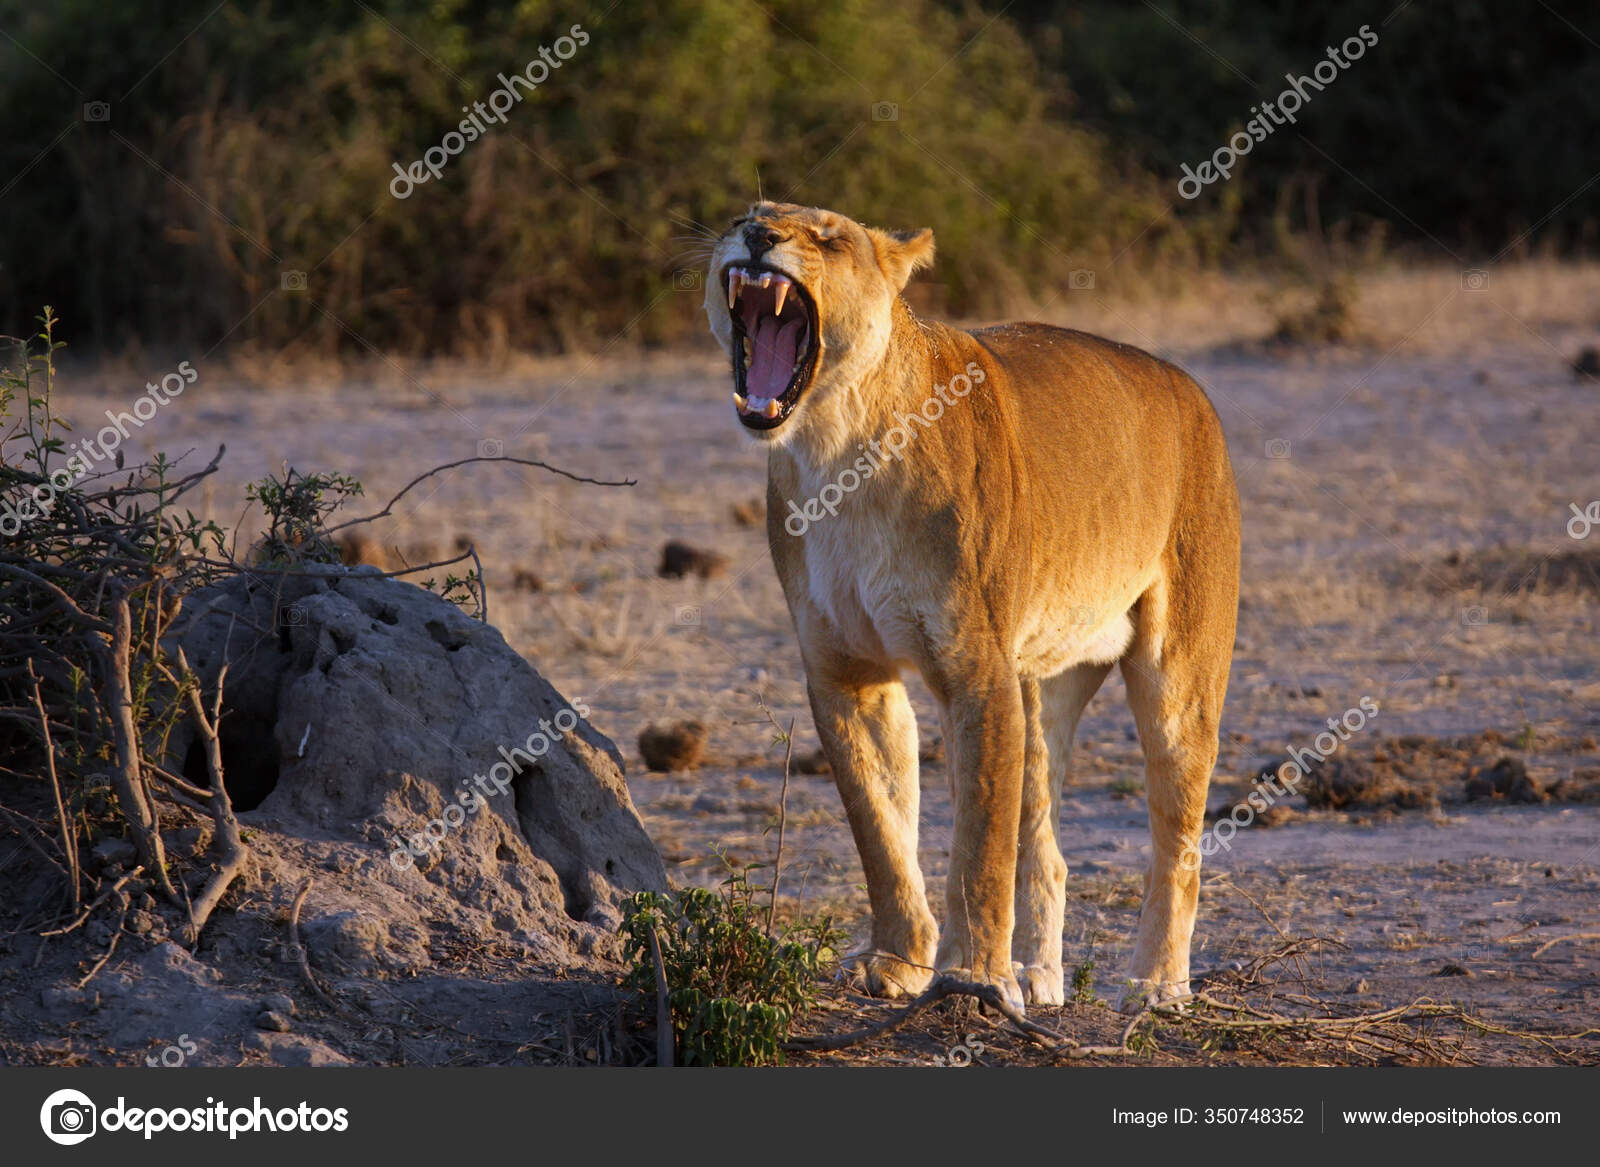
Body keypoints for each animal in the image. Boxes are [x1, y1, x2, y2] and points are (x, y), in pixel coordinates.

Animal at [702, 202, 1240, 1013]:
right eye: (746, 215)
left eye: (829, 237)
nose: (759, 237)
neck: (836, 446)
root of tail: (1190, 387)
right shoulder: (847, 672)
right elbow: (881, 826)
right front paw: (898, 962)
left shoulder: (975, 668)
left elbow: (980, 840)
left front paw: (976, 978)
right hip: (1042, 679)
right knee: (1045, 841)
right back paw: (1042, 979)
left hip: (1177, 673)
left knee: (1178, 835)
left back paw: (1154, 985)